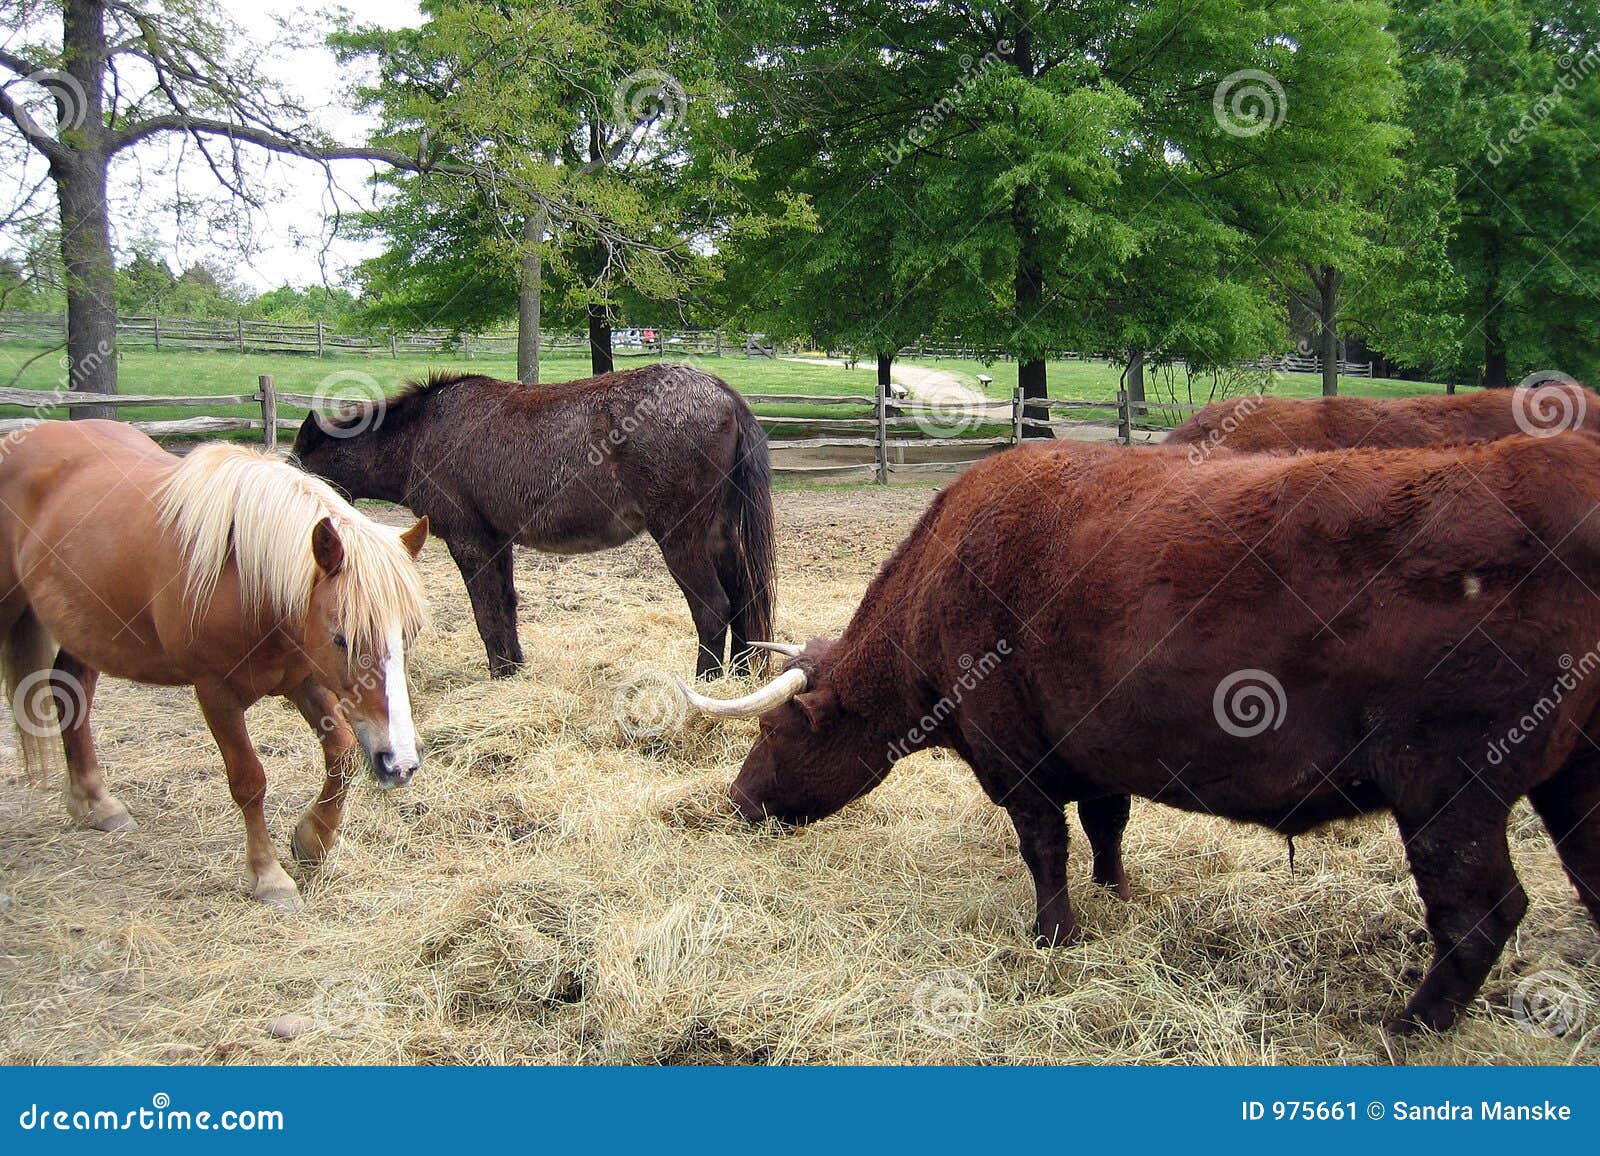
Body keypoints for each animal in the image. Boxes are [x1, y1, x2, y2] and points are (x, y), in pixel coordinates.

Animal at [678, 434, 1600, 1034]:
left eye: (779, 730)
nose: (737, 799)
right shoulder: (1092, 746)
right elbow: (1106, 824)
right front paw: (1117, 894)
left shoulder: (1011, 750)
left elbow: (1044, 844)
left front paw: (1053, 935)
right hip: (1572, 779)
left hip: (1450, 788)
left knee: (1480, 913)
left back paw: (1412, 1024)